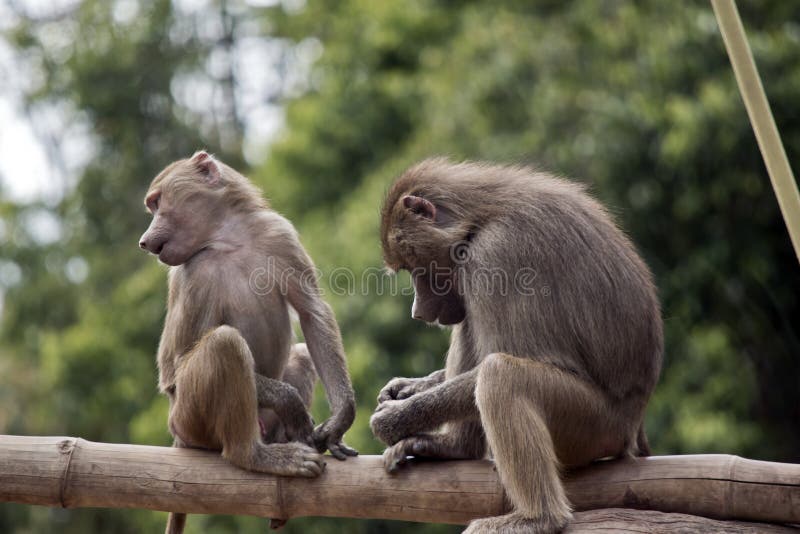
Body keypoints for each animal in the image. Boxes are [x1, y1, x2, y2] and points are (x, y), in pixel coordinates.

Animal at [139, 151, 357, 534]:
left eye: (157, 202)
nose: (144, 241)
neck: (229, 239)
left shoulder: (279, 233)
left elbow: (313, 312)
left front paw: (338, 422)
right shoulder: (190, 275)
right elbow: (175, 369)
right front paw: (291, 402)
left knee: (301, 355)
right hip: (189, 420)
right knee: (224, 345)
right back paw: (256, 454)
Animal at [370, 158, 662, 533]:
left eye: (415, 268)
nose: (418, 313)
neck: (478, 218)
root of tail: (634, 424)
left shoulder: (495, 255)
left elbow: (513, 357)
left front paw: (396, 417)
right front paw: (410, 388)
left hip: (594, 427)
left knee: (501, 375)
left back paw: (537, 519)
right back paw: (453, 447)